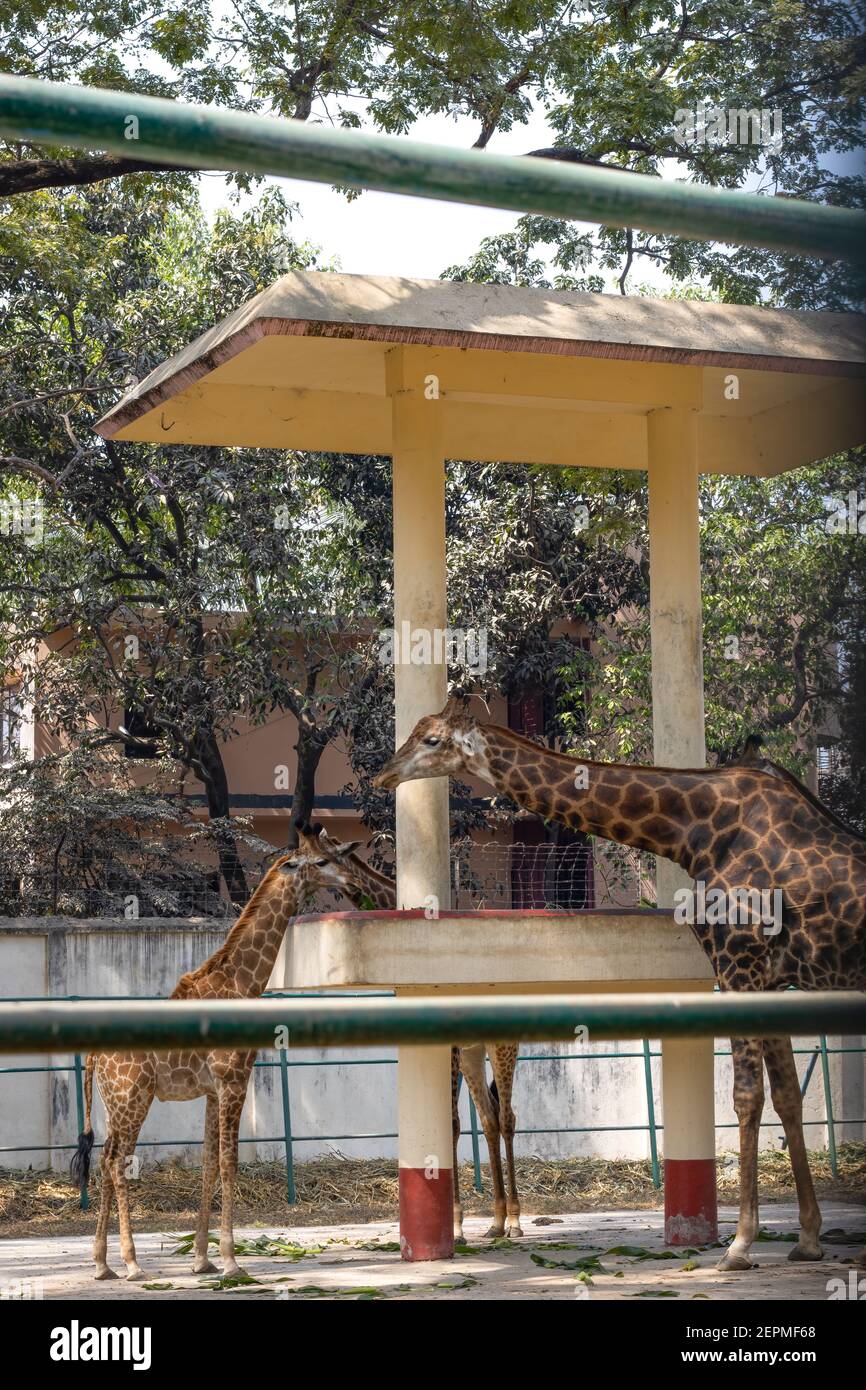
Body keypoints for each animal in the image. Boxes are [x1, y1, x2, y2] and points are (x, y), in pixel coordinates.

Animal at [70, 840, 361, 1282]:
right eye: (322, 860)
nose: (353, 882)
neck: (241, 985)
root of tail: (94, 1054)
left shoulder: (211, 1089)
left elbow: (208, 1162)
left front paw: (201, 1259)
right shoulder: (233, 1079)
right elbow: (229, 1161)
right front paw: (231, 1261)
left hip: (113, 1103)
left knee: (104, 1160)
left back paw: (103, 1264)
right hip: (134, 1098)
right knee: (118, 1162)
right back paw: (133, 1264)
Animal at [301, 822, 523, 1239]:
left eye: (321, 859)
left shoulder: (450, 1047)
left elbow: (451, 1124)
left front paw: (455, 1225)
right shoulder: (450, 1047)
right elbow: (452, 1125)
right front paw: (457, 1225)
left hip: (504, 1043)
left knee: (507, 1118)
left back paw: (516, 1221)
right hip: (474, 1050)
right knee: (488, 1119)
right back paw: (497, 1221)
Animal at [374, 698, 866, 1271]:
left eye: (431, 740)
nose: (384, 773)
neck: (693, 832)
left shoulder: (736, 964)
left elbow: (746, 1096)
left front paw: (740, 1244)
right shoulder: (766, 979)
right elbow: (787, 1096)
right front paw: (808, 1237)